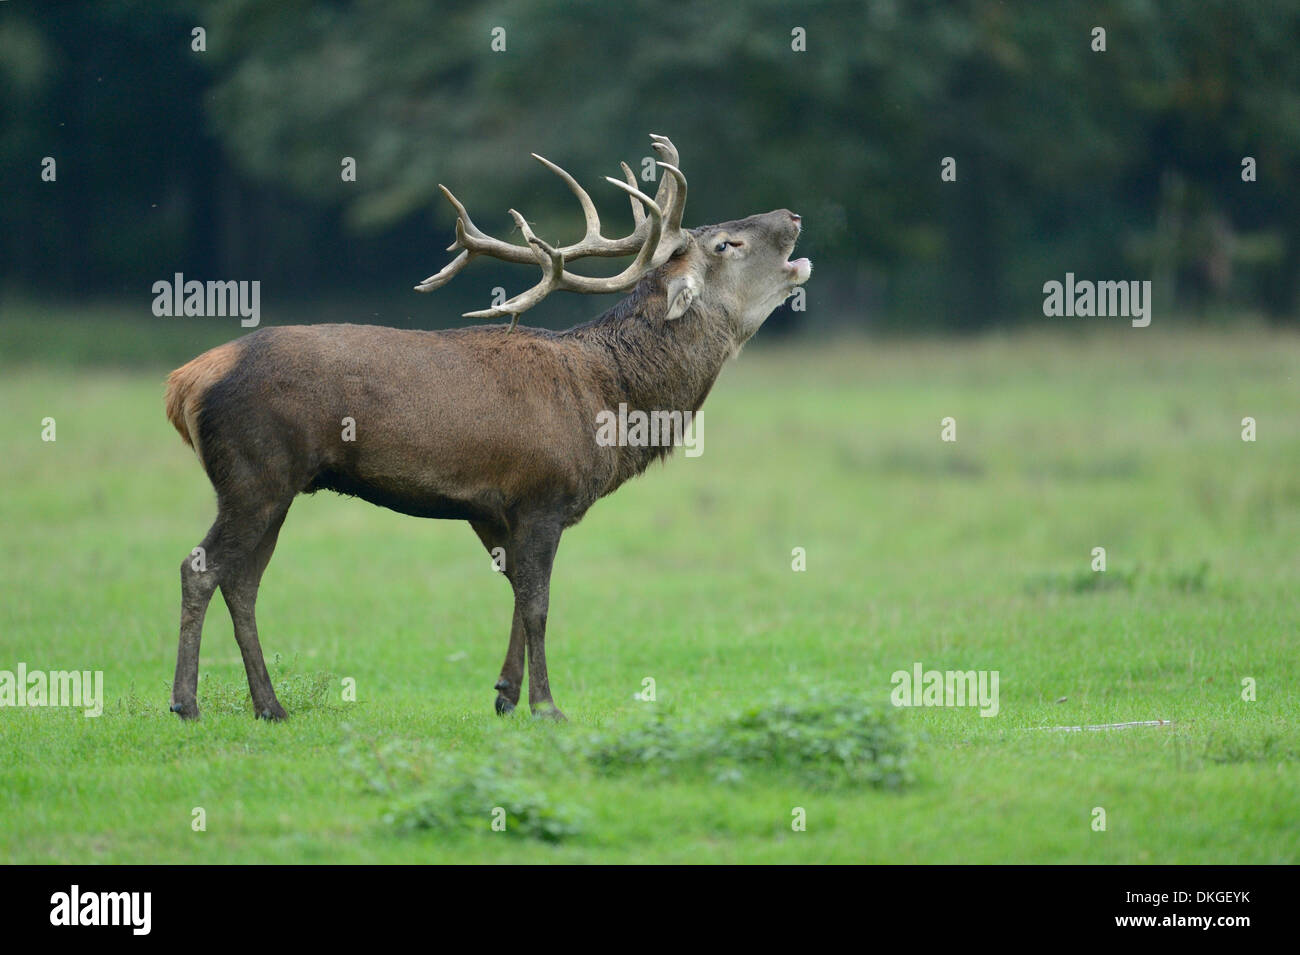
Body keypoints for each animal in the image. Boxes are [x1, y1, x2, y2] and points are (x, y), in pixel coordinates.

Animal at [164, 134, 811, 722]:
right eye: (727, 243)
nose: (793, 215)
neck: (609, 400)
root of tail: (183, 382)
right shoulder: (543, 494)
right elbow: (539, 604)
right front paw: (546, 706)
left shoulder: (495, 510)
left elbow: (518, 595)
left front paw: (504, 695)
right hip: (254, 473)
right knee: (201, 568)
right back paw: (186, 703)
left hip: (274, 487)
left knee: (243, 581)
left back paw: (269, 706)